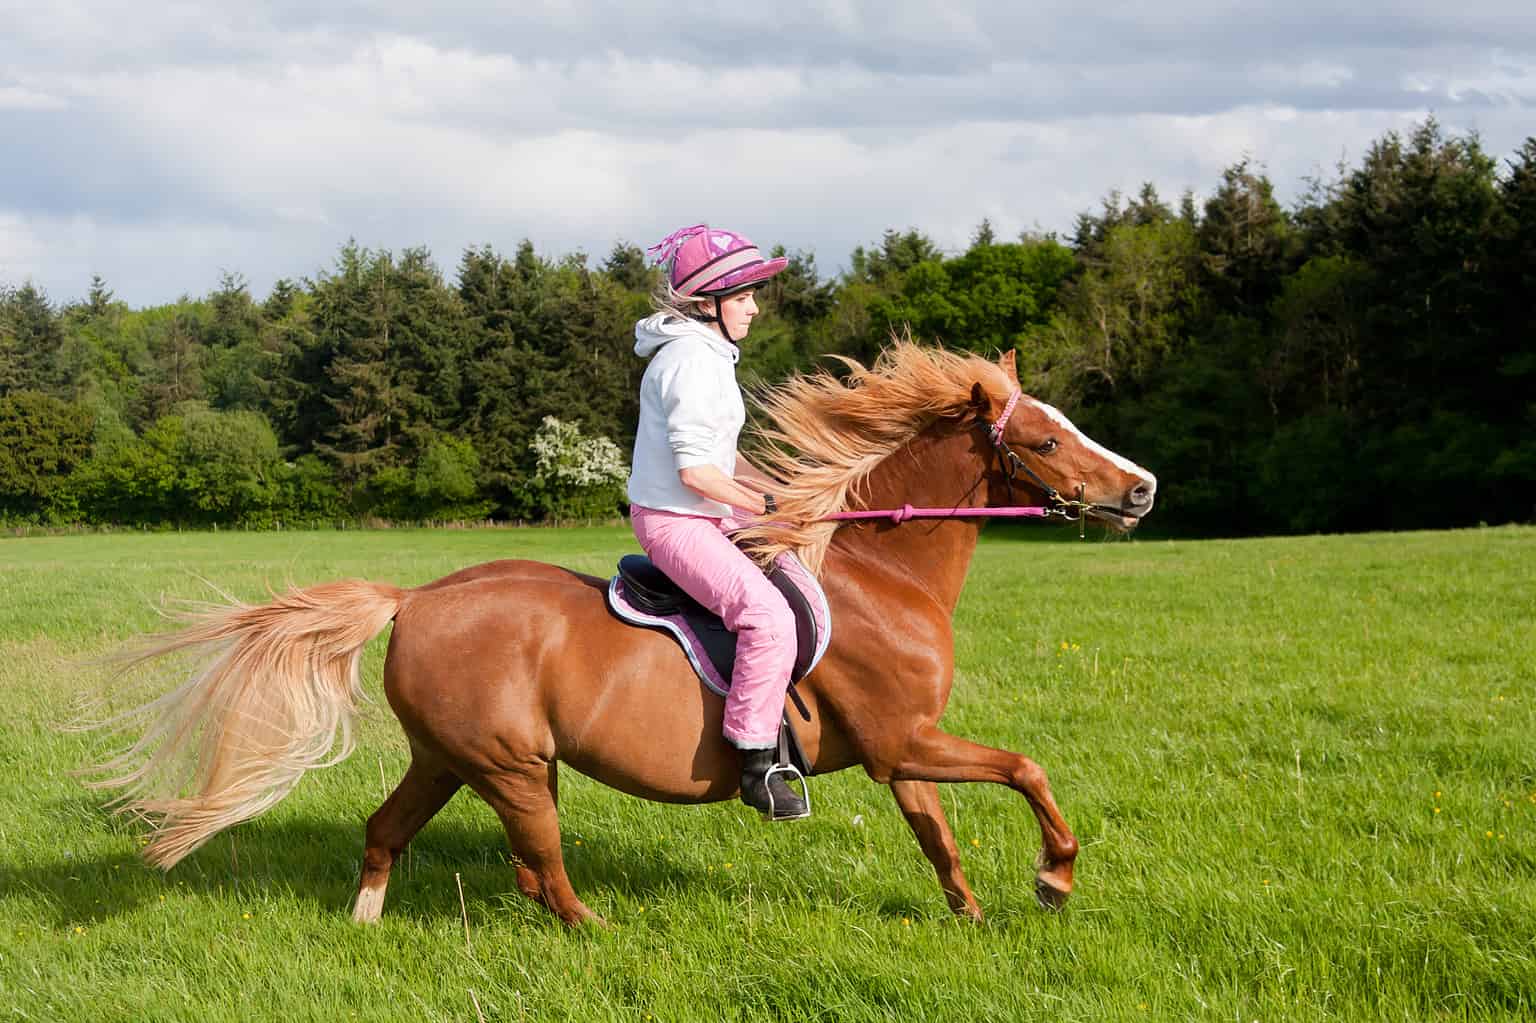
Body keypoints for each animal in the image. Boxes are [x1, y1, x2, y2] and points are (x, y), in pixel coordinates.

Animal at [86, 342, 1156, 926]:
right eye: (1048, 438)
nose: (1142, 489)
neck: (883, 578)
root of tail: (413, 596)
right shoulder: (907, 740)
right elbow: (1026, 769)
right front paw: (1055, 877)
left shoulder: (902, 752)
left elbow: (939, 834)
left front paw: (972, 911)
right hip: (513, 764)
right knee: (545, 865)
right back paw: (592, 926)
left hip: (449, 757)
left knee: (392, 831)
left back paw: (364, 923)